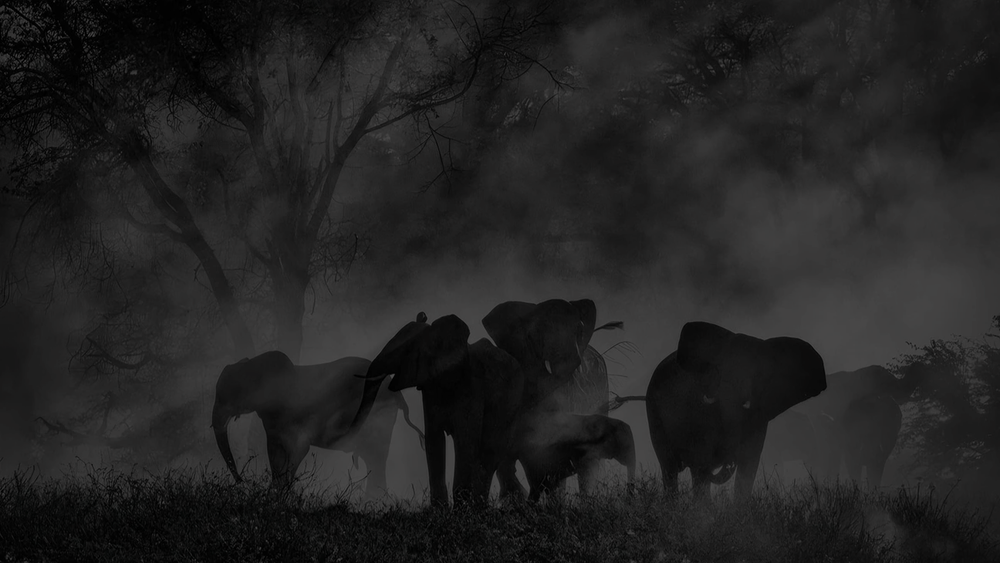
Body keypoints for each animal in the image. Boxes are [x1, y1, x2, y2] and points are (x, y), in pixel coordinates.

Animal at [211, 350, 424, 496]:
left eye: (229, 395)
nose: (242, 481)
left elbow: (299, 449)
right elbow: (274, 453)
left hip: (378, 416)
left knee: (376, 456)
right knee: (373, 458)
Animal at [646, 321, 827, 499]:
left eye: (757, 374)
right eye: (719, 369)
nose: (729, 460)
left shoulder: (759, 415)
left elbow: (748, 466)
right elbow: (701, 462)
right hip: (654, 414)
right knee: (670, 469)